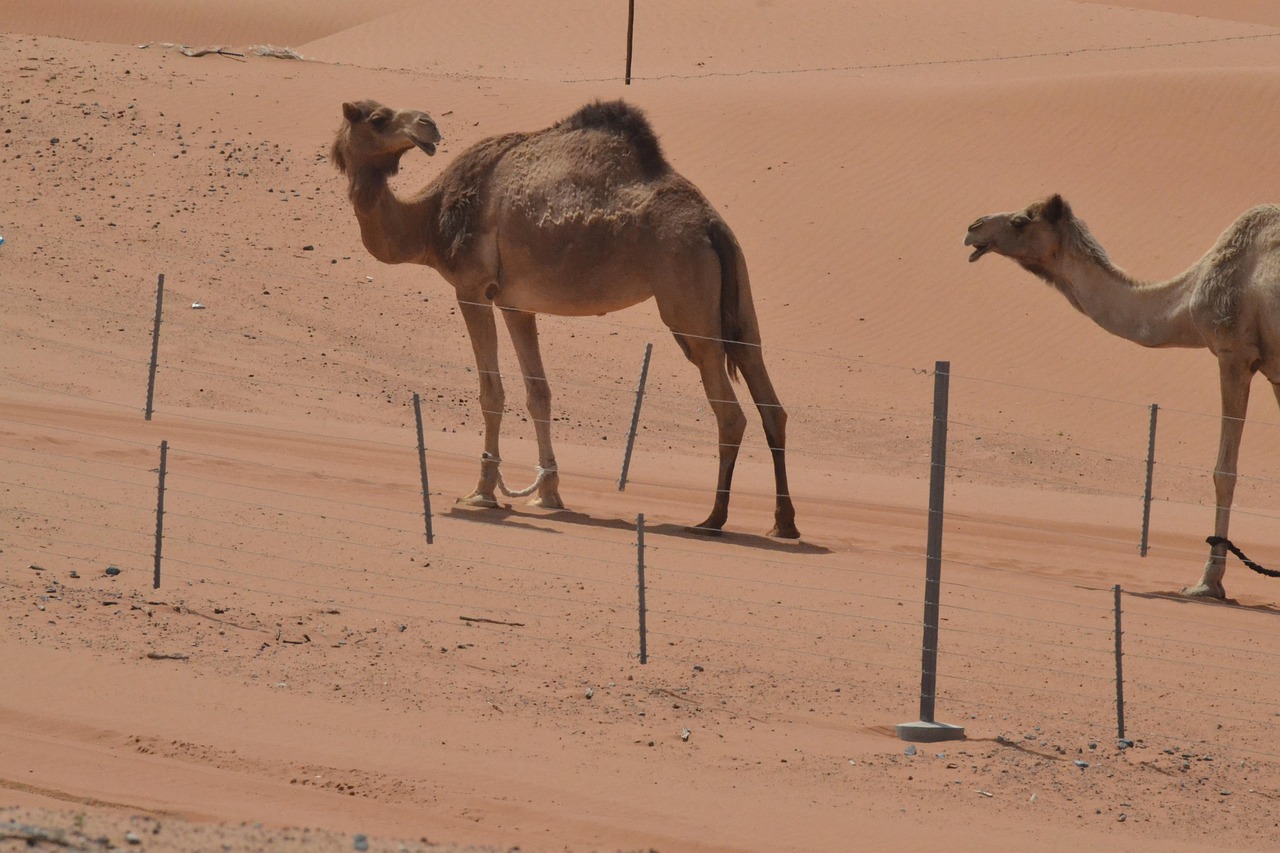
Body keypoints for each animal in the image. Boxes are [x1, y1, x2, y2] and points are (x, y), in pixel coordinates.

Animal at [331, 98, 799, 538]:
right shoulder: (515, 303)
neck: (428, 219)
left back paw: (713, 519)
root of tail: (710, 224)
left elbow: (492, 393)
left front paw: (481, 493)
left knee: (730, 411)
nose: (428, 124)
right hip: (738, 294)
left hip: (687, 300)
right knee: (769, 399)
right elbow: (538, 394)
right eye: (378, 117)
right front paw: (548, 495)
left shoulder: (472, 288)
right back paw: (784, 523)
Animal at [965, 194, 1280, 598]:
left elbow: (1224, 472)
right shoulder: (1275, 372)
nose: (973, 227)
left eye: (1021, 221)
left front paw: (1208, 583)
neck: (1188, 298)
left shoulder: (1234, 353)